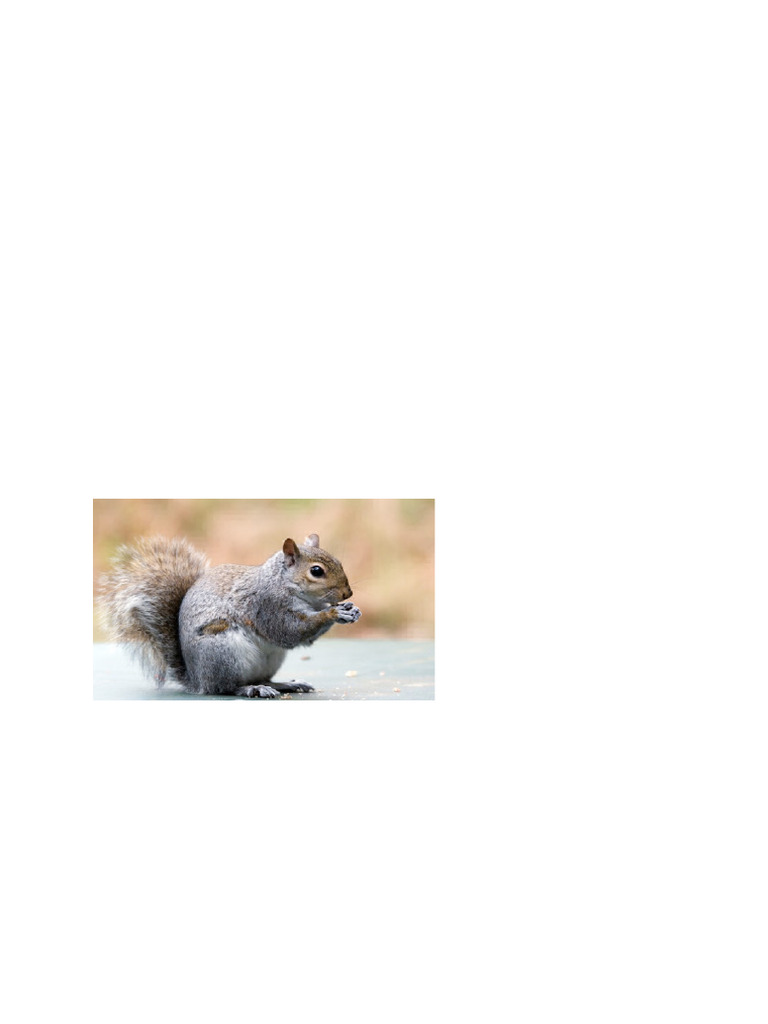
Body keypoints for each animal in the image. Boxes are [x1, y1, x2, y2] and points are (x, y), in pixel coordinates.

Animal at [99, 533, 361, 698]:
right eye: (316, 571)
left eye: (338, 561)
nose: (347, 593)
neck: (283, 582)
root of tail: (197, 679)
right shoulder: (267, 605)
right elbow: (288, 631)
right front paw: (333, 612)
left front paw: (350, 609)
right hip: (223, 653)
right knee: (224, 687)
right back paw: (251, 690)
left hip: (269, 660)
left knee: (263, 679)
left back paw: (285, 684)